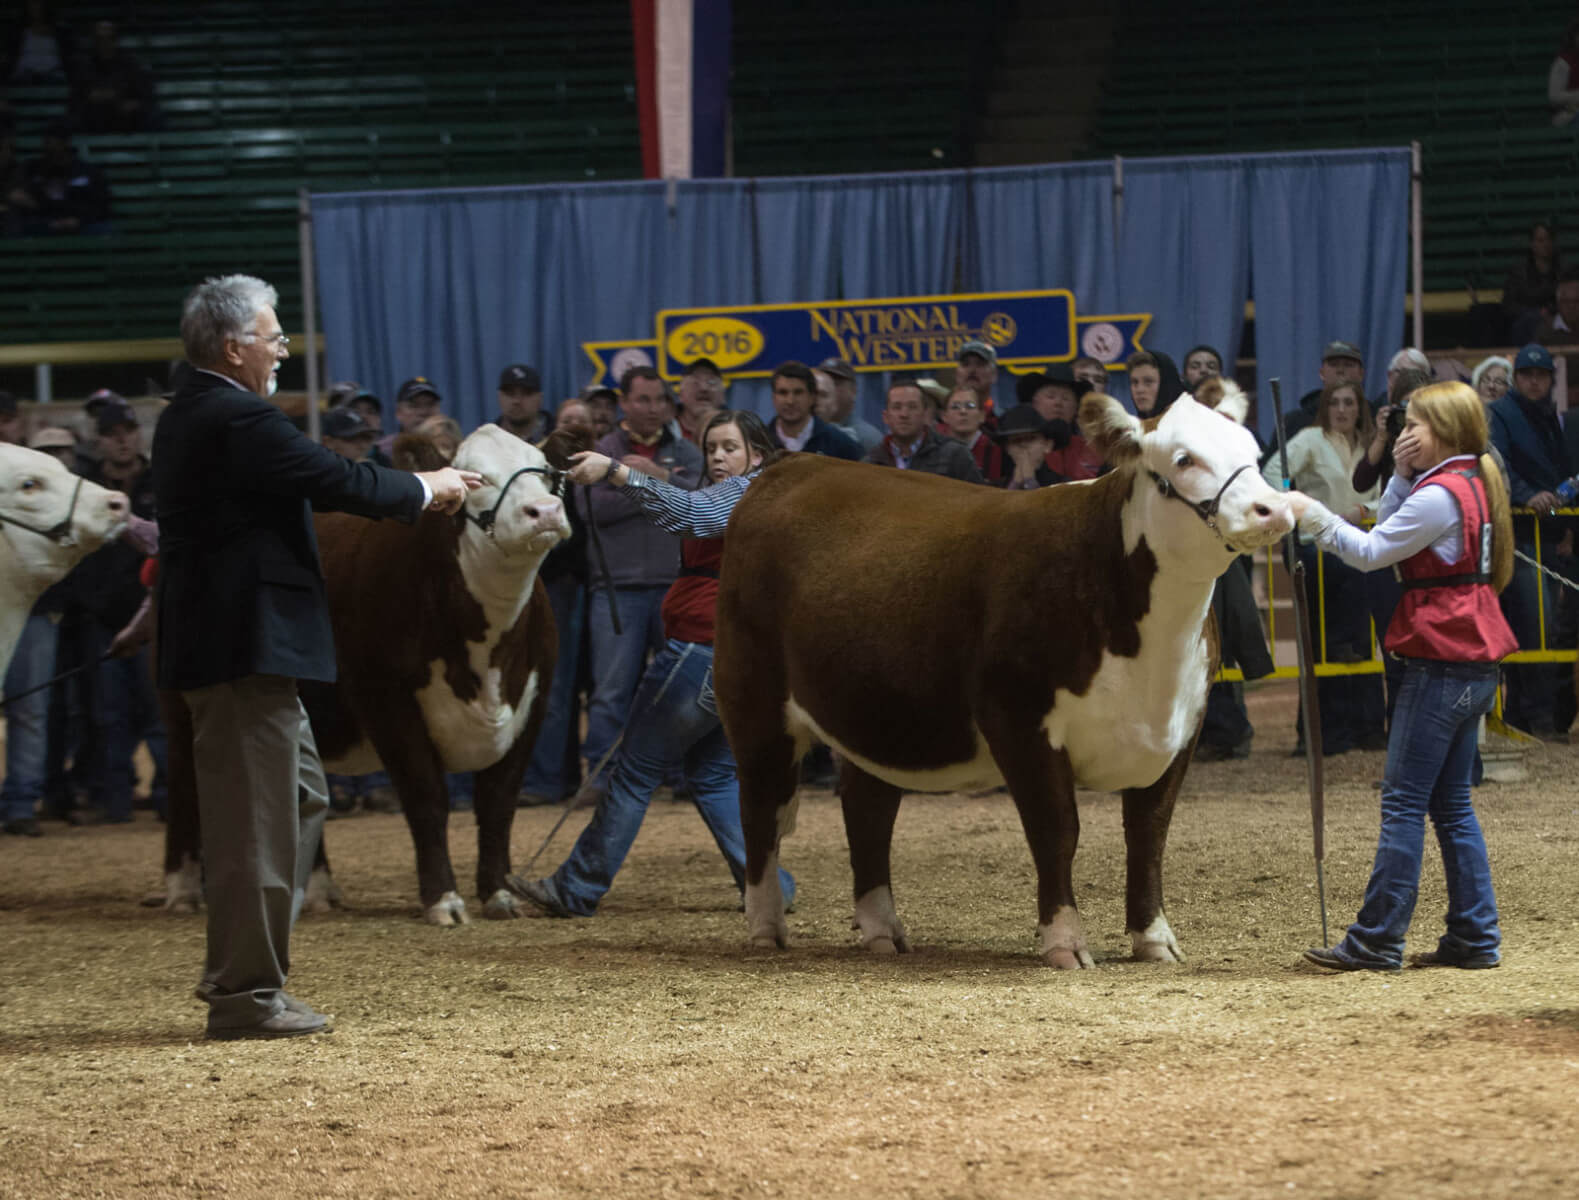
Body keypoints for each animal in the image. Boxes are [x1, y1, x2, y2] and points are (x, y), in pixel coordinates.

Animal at [713, 383, 1294, 968]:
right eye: (1183, 459)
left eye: (1251, 450)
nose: (1273, 509)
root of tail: (794, 463)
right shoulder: (1018, 718)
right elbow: (1057, 829)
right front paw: (1066, 943)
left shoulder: (1182, 728)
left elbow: (1148, 834)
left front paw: (1154, 939)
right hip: (752, 698)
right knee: (760, 807)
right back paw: (766, 928)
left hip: (874, 713)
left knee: (866, 811)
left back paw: (882, 929)